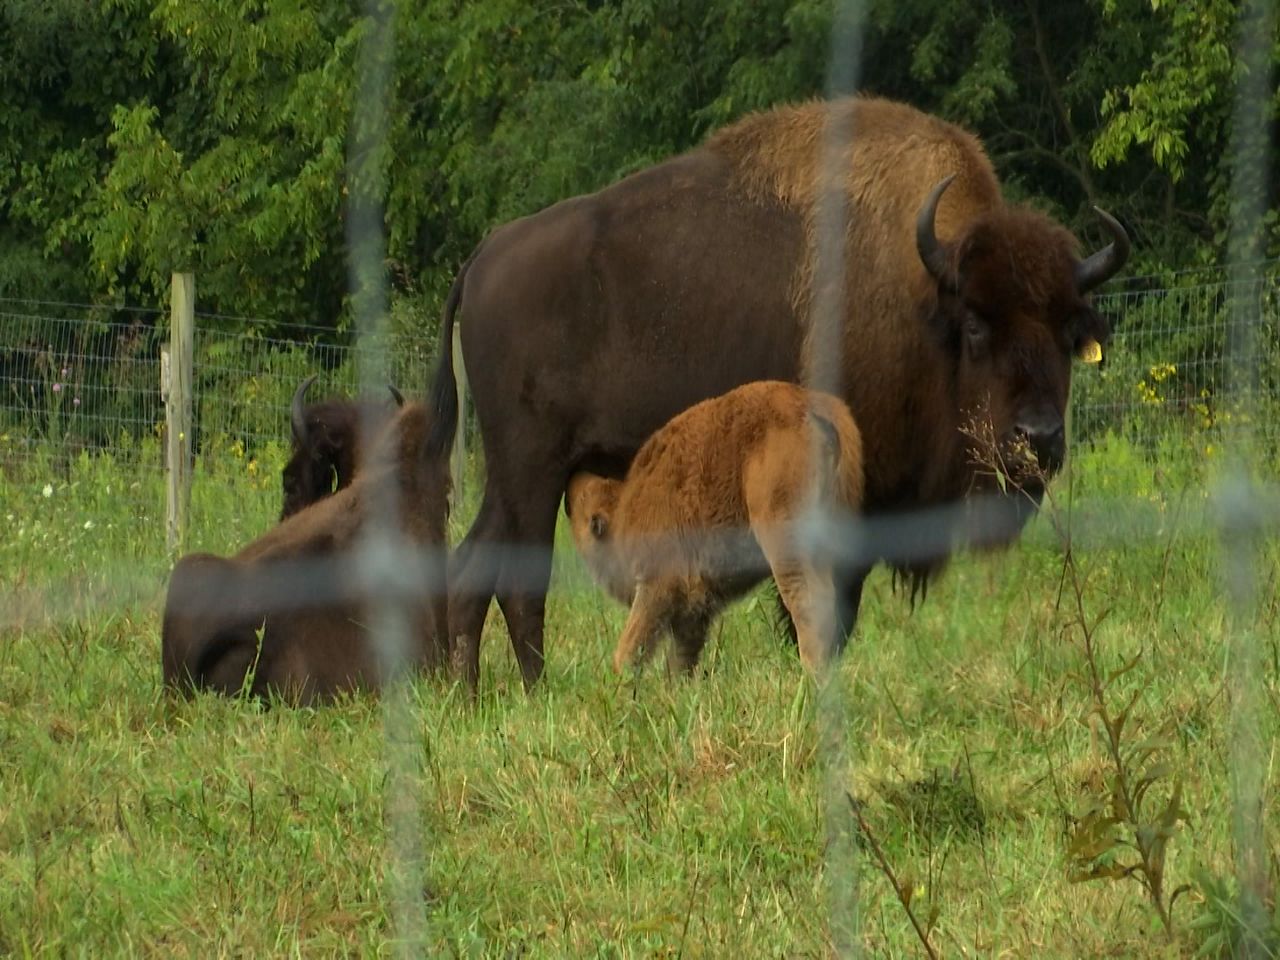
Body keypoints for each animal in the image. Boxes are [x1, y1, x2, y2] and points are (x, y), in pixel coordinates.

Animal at [426, 94, 1129, 692]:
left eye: (1069, 331)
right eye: (978, 325)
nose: (1039, 438)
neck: (923, 297)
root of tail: (485, 256)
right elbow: (824, 604)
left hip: (517, 475)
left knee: (472, 569)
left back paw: (473, 694)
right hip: (530, 470)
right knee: (519, 579)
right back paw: (530, 690)